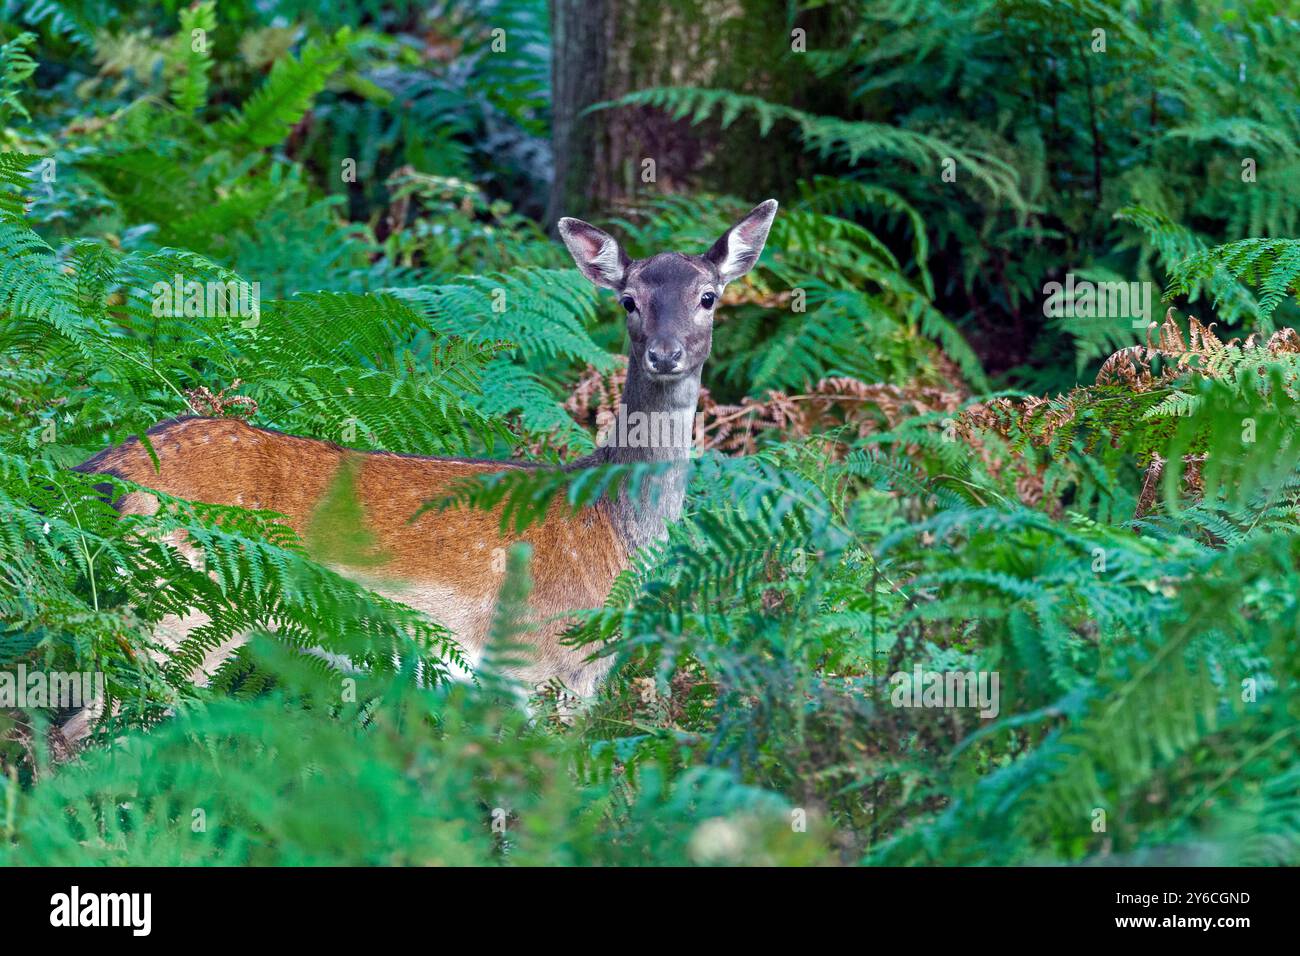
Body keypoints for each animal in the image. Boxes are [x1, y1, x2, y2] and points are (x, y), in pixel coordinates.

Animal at [59, 200, 779, 748]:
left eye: (708, 297)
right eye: (628, 300)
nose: (665, 352)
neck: (614, 533)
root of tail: (98, 476)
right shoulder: (553, 667)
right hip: (178, 610)